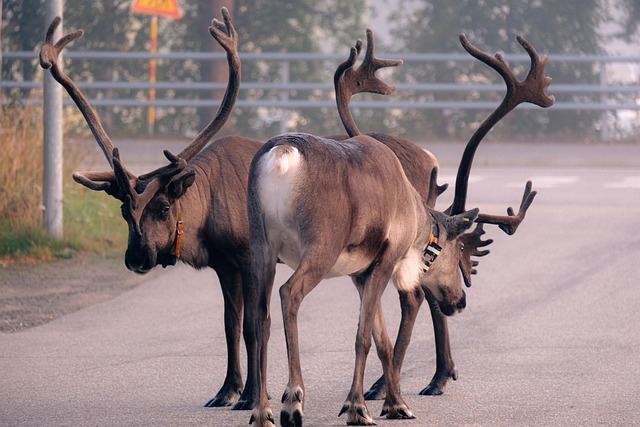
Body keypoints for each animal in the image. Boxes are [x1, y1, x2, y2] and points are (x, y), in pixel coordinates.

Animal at [39, 9, 267, 411]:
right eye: (123, 212)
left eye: (162, 207)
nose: (136, 257)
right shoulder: (225, 266)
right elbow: (230, 326)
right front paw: (226, 391)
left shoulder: (249, 258)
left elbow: (253, 327)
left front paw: (252, 397)